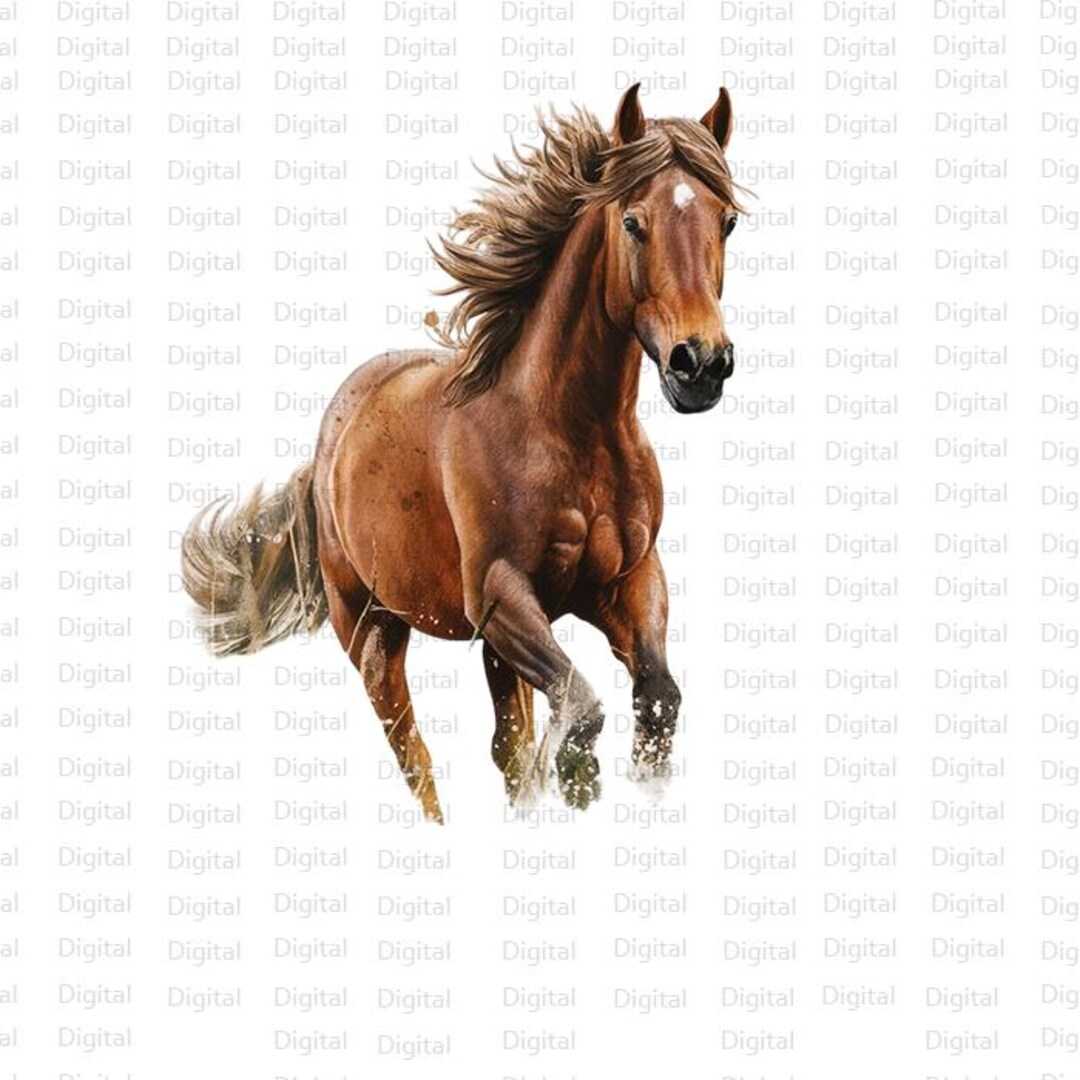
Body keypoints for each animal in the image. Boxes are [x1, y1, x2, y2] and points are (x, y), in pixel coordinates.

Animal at [180, 83, 746, 823]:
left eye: (727, 221)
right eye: (632, 221)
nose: (700, 366)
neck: (568, 429)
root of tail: (332, 438)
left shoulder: (626, 581)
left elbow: (655, 699)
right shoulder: (502, 601)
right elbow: (581, 708)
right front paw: (580, 781)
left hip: (492, 651)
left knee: (510, 747)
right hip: (373, 634)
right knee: (415, 754)